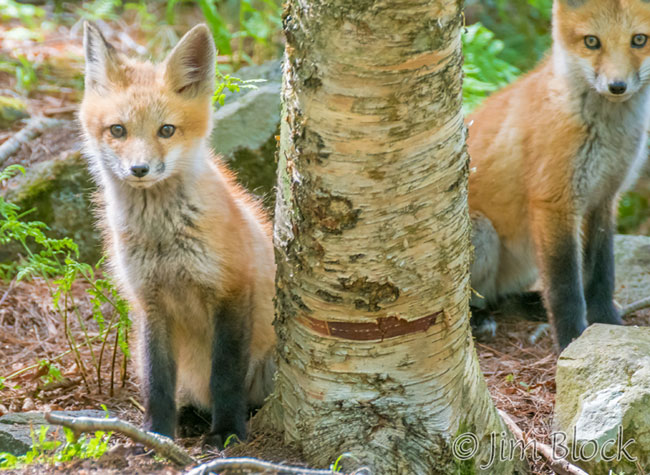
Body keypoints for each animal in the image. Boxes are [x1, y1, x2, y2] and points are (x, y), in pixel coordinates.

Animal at [78, 22, 276, 446]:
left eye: (166, 130)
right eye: (118, 130)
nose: (139, 169)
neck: (163, 239)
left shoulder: (232, 289)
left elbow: (225, 376)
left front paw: (228, 432)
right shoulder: (150, 302)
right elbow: (158, 382)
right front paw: (156, 437)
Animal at [468, 0, 650, 350]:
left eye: (639, 40)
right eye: (592, 41)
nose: (617, 86)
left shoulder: (604, 197)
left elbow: (601, 275)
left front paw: (607, 324)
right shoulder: (554, 201)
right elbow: (566, 288)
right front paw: (572, 340)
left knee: (501, 297)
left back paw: (528, 305)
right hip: (481, 233)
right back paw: (477, 321)